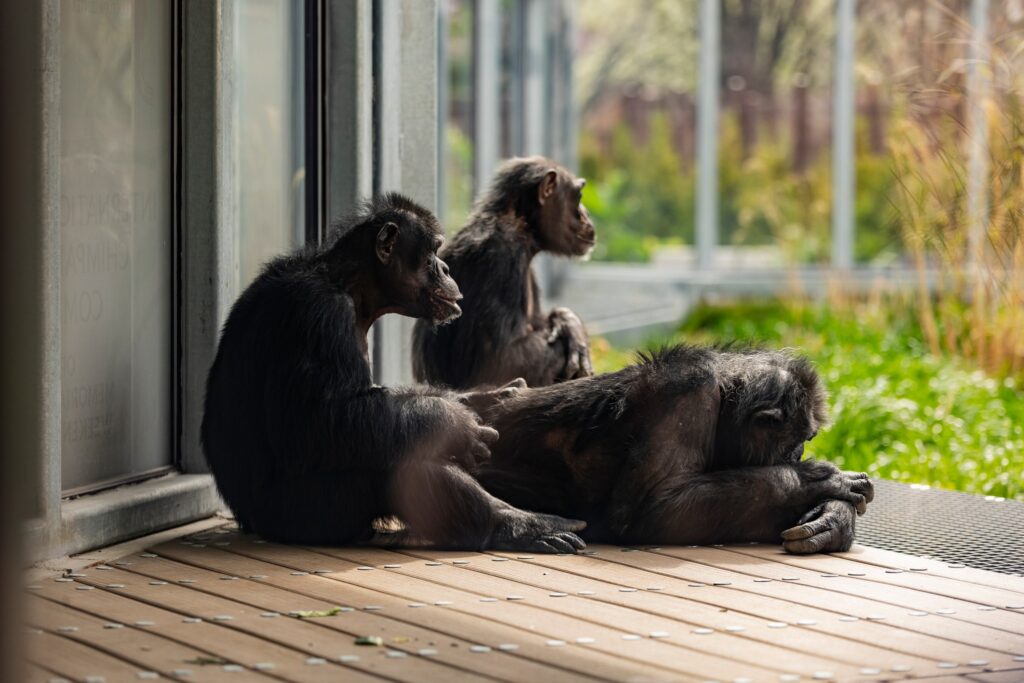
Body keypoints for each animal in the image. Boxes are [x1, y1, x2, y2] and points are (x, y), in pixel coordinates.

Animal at [201, 193, 586, 553]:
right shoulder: (319, 316)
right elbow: (323, 417)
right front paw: (455, 421)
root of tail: (248, 522)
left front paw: (483, 398)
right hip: (305, 514)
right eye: (432, 252)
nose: (446, 268)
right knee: (390, 456)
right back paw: (515, 525)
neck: (350, 286)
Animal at [412, 156, 596, 389]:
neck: (522, 224)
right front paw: (571, 330)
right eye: (578, 196)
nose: (585, 215)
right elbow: (502, 360)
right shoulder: (502, 256)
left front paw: (569, 321)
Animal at [472, 345, 874, 554]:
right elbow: (656, 507)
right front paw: (822, 478)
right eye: (798, 441)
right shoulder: (686, 400)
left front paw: (833, 518)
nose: (798, 456)